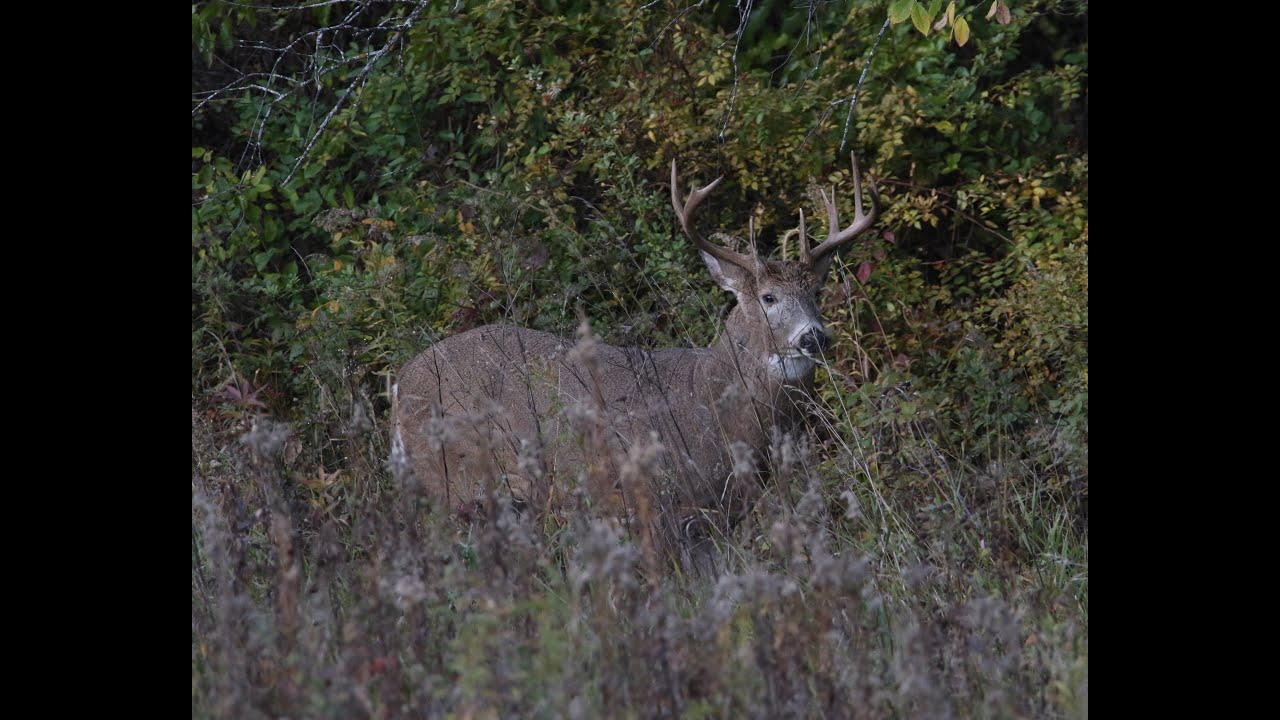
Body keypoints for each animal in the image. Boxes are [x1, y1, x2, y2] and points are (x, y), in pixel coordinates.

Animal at [392, 153, 878, 550]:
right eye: (768, 297)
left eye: (817, 291)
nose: (813, 338)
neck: (713, 404)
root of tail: (398, 385)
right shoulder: (653, 501)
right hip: (455, 476)